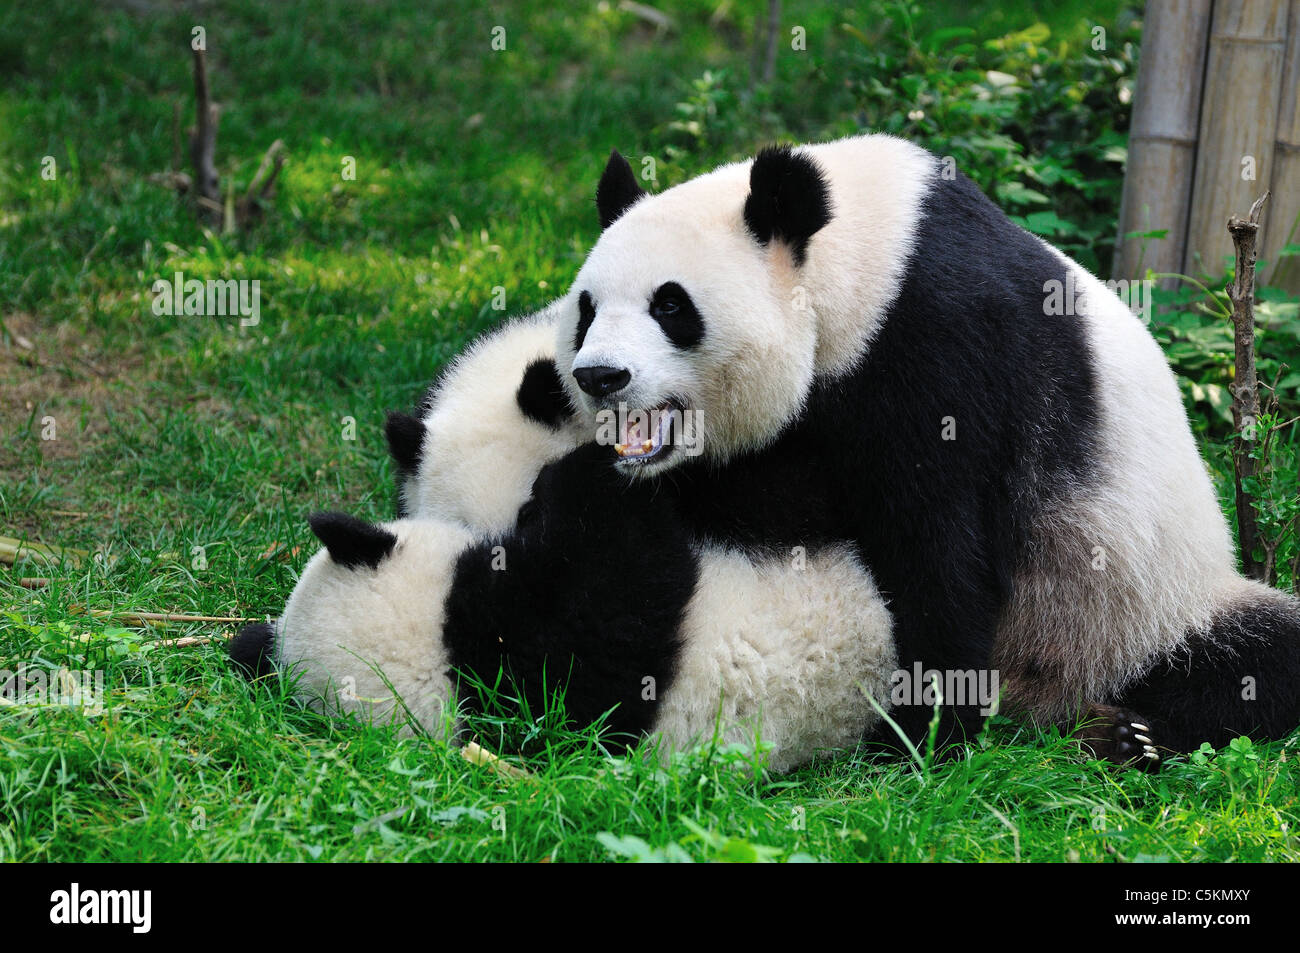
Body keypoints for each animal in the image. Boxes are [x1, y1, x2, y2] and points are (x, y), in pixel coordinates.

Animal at [552, 135, 1300, 761]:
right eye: (587, 309)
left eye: (671, 307)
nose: (600, 376)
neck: (856, 262)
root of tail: (1049, 696)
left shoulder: (939, 342)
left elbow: (936, 546)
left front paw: (922, 740)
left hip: (1144, 601)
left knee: (1257, 660)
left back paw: (1133, 733)